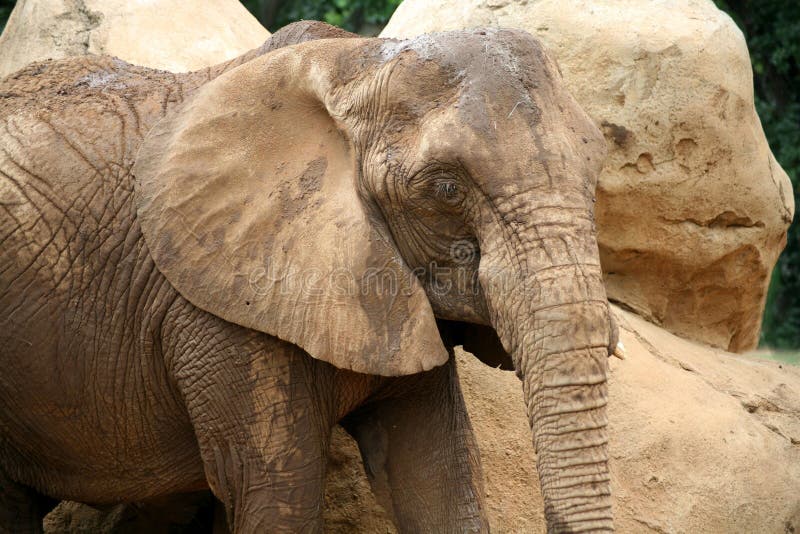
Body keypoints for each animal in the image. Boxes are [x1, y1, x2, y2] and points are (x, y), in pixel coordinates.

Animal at [0, 20, 618, 533]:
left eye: (595, 171)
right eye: (445, 188)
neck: (354, 65)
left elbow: (435, 474)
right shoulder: (223, 306)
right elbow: (277, 492)